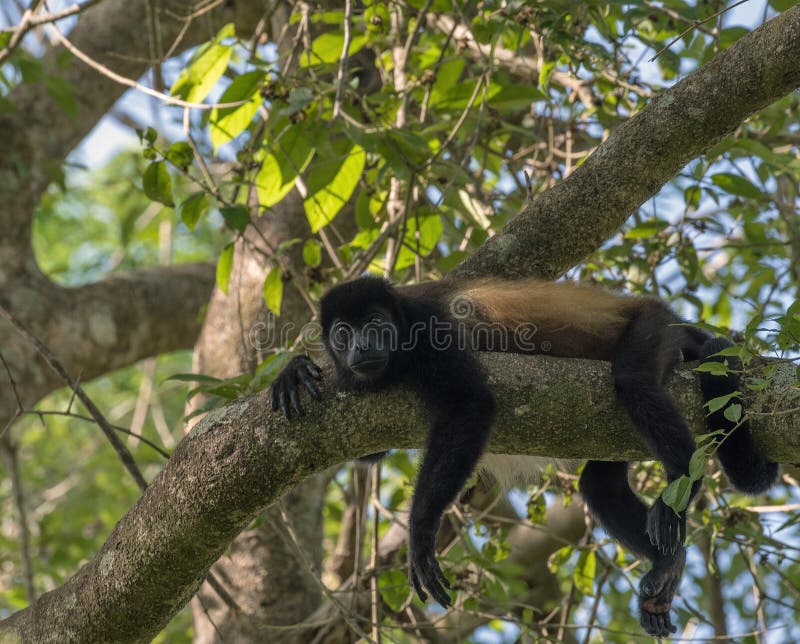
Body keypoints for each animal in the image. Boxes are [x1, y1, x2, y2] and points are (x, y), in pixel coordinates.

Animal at [270, 276, 778, 637]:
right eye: (343, 333)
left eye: (374, 325)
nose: (361, 346)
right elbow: (369, 451)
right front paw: (294, 370)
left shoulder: (427, 328)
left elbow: (471, 405)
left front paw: (420, 532)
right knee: (600, 484)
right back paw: (667, 563)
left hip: (654, 325)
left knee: (634, 378)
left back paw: (679, 484)